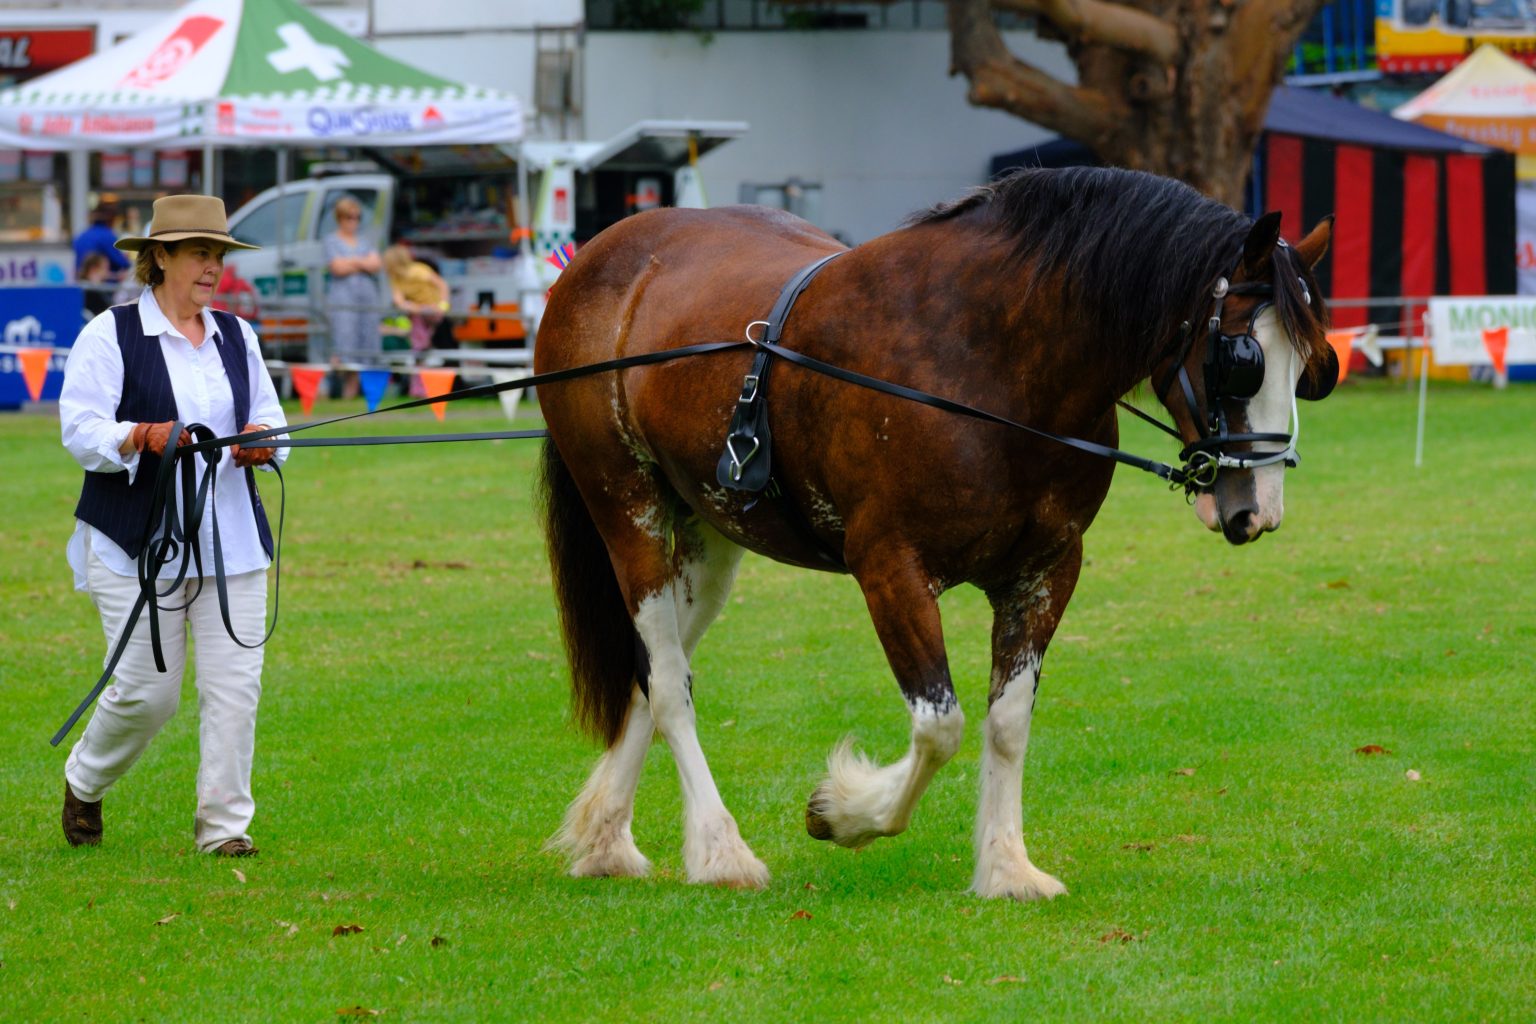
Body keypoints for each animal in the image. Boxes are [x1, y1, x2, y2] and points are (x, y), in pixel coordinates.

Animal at [533, 166, 1334, 900]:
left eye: (1313, 367)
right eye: (1242, 357)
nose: (1256, 509)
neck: (989, 363)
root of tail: (609, 251)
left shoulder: (1046, 571)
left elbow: (1006, 723)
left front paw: (1007, 868)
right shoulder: (890, 568)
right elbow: (940, 725)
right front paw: (844, 810)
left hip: (710, 538)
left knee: (652, 671)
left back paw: (605, 837)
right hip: (626, 509)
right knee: (669, 682)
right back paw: (718, 849)